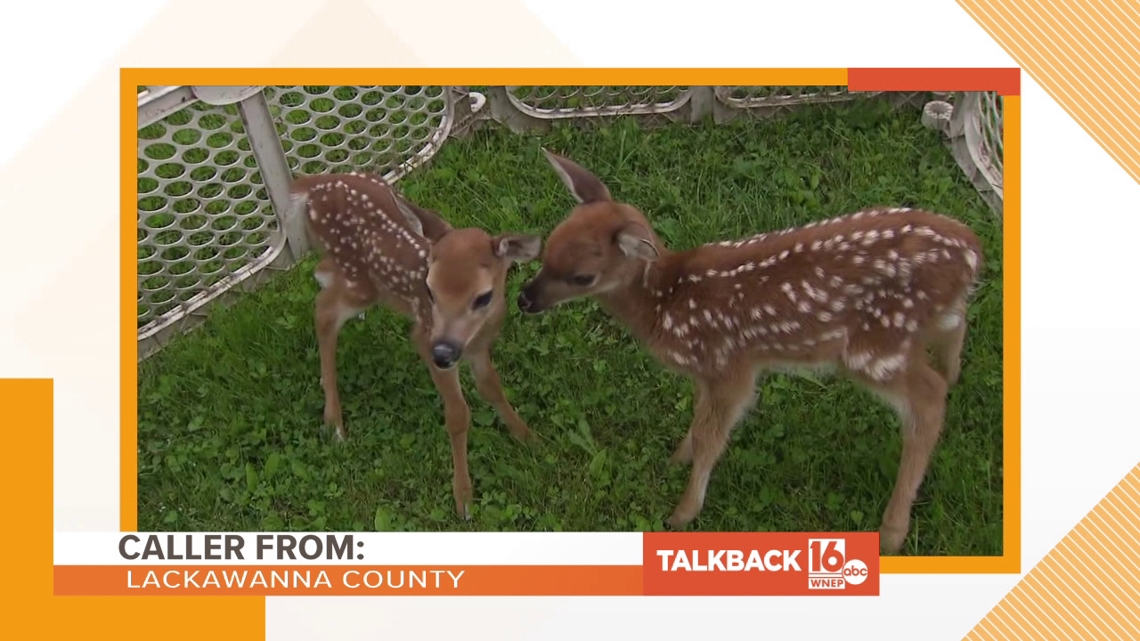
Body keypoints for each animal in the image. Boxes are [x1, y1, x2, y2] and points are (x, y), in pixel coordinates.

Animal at [288, 171, 541, 520]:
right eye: (429, 290)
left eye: (483, 296)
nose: (443, 352)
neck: (473, 336)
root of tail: (310, 186)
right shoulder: (424, 338)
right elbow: (458, 414)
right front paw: (463, 498)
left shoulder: (477, 349)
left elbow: (492, 388)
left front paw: (528, 438)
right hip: (359, 281)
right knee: (324, 310)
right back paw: (335, 424)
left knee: (322, 279)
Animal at [517, 150, 984, 554]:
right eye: (547, 248)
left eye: (582, 276)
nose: (524, 299)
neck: (665, 303)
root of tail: (971, 249)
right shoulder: (709, 372)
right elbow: (699, 423)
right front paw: (676, 459)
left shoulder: (732, 366)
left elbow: (711, 437)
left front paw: (682, 513)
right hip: (920, 323)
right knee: (955, 330)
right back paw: (955, 377)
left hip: (874, 346)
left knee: (928, 398)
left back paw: (892, 531)